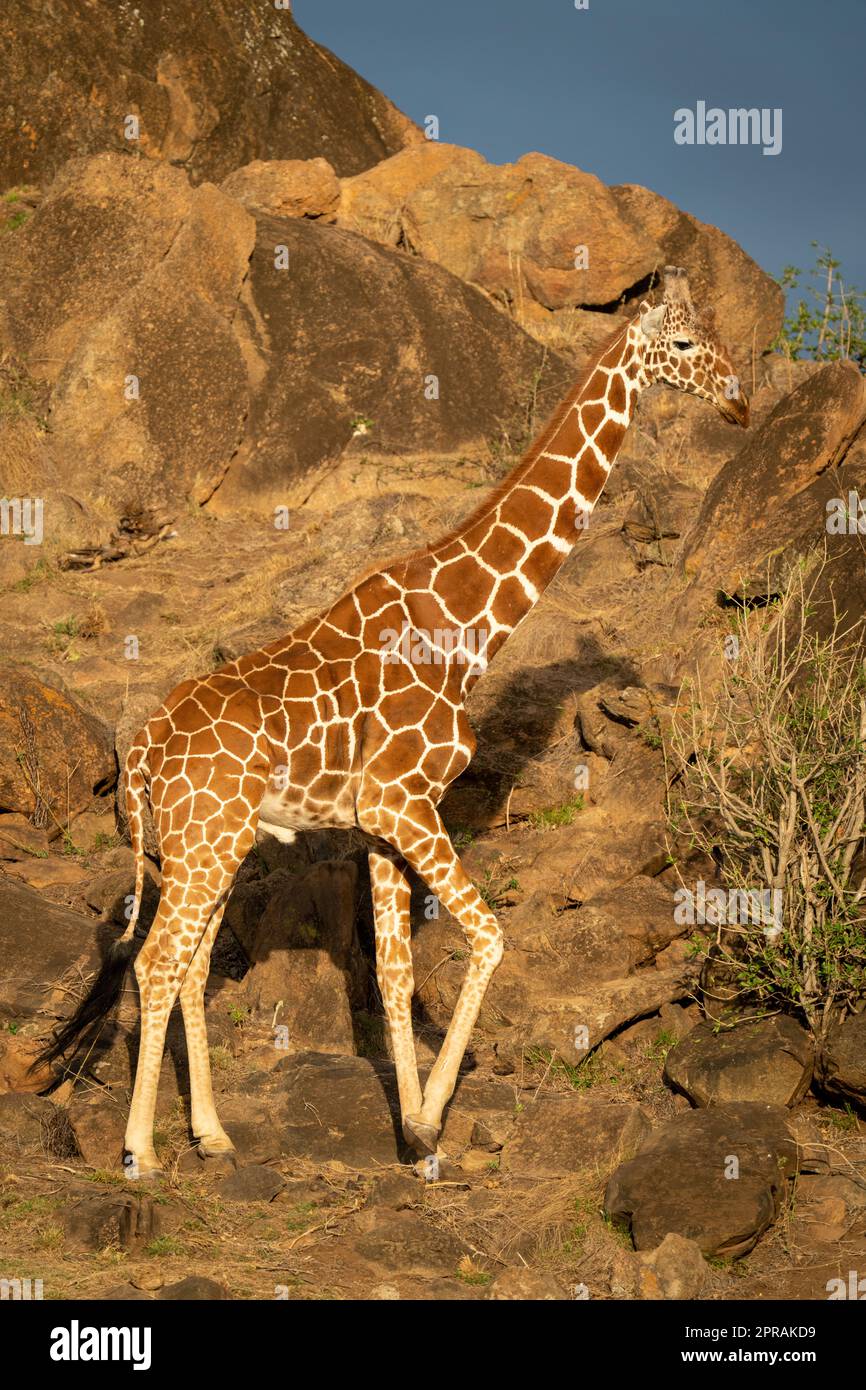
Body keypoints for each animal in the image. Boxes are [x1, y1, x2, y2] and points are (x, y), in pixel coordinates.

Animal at [38, 267, 749, 1177]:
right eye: (686, 342)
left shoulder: (377, 824)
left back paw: (213, 1133)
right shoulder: (402, 801)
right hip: (203, 840)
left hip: (212, 843)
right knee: (158, 961)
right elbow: (490, 938)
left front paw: (413, 1131)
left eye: (719, 336)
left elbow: (394, 975)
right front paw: (431, 1122)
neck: (467, 626)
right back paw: (141, 1152)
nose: (738, 402)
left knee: (189, 967)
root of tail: (142, 752)